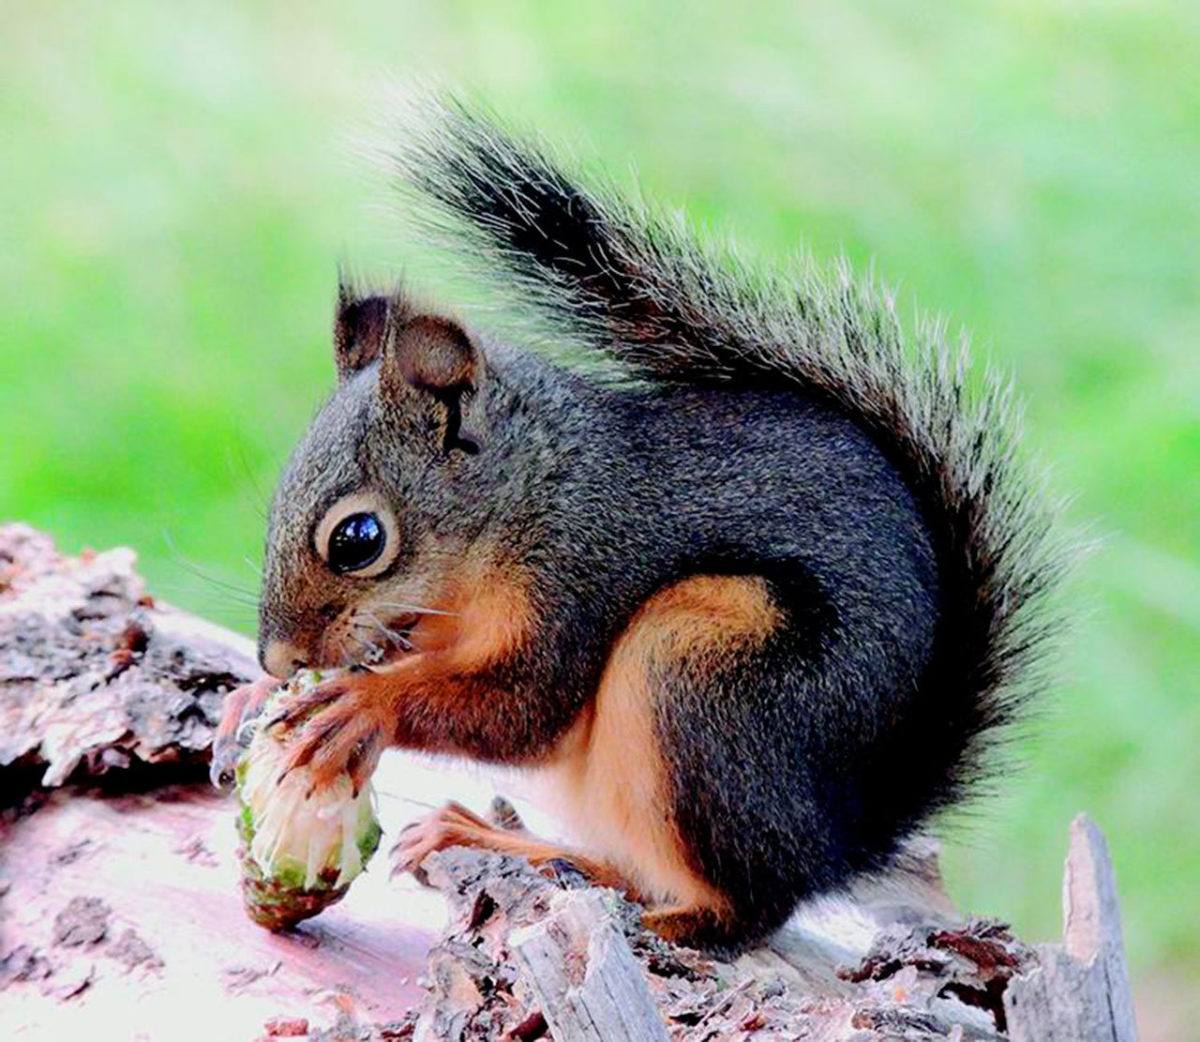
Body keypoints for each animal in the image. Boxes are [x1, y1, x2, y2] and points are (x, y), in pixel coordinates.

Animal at [212, 95, 1065, 952]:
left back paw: (646, 908)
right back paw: (509, 842)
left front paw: (364, 705)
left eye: (358, 540)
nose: (278, 656)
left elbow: (524, 710)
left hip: (699, 668)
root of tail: (839, 838)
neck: (529, 497)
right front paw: (255, 697)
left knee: (740, 907)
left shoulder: (580, 575)